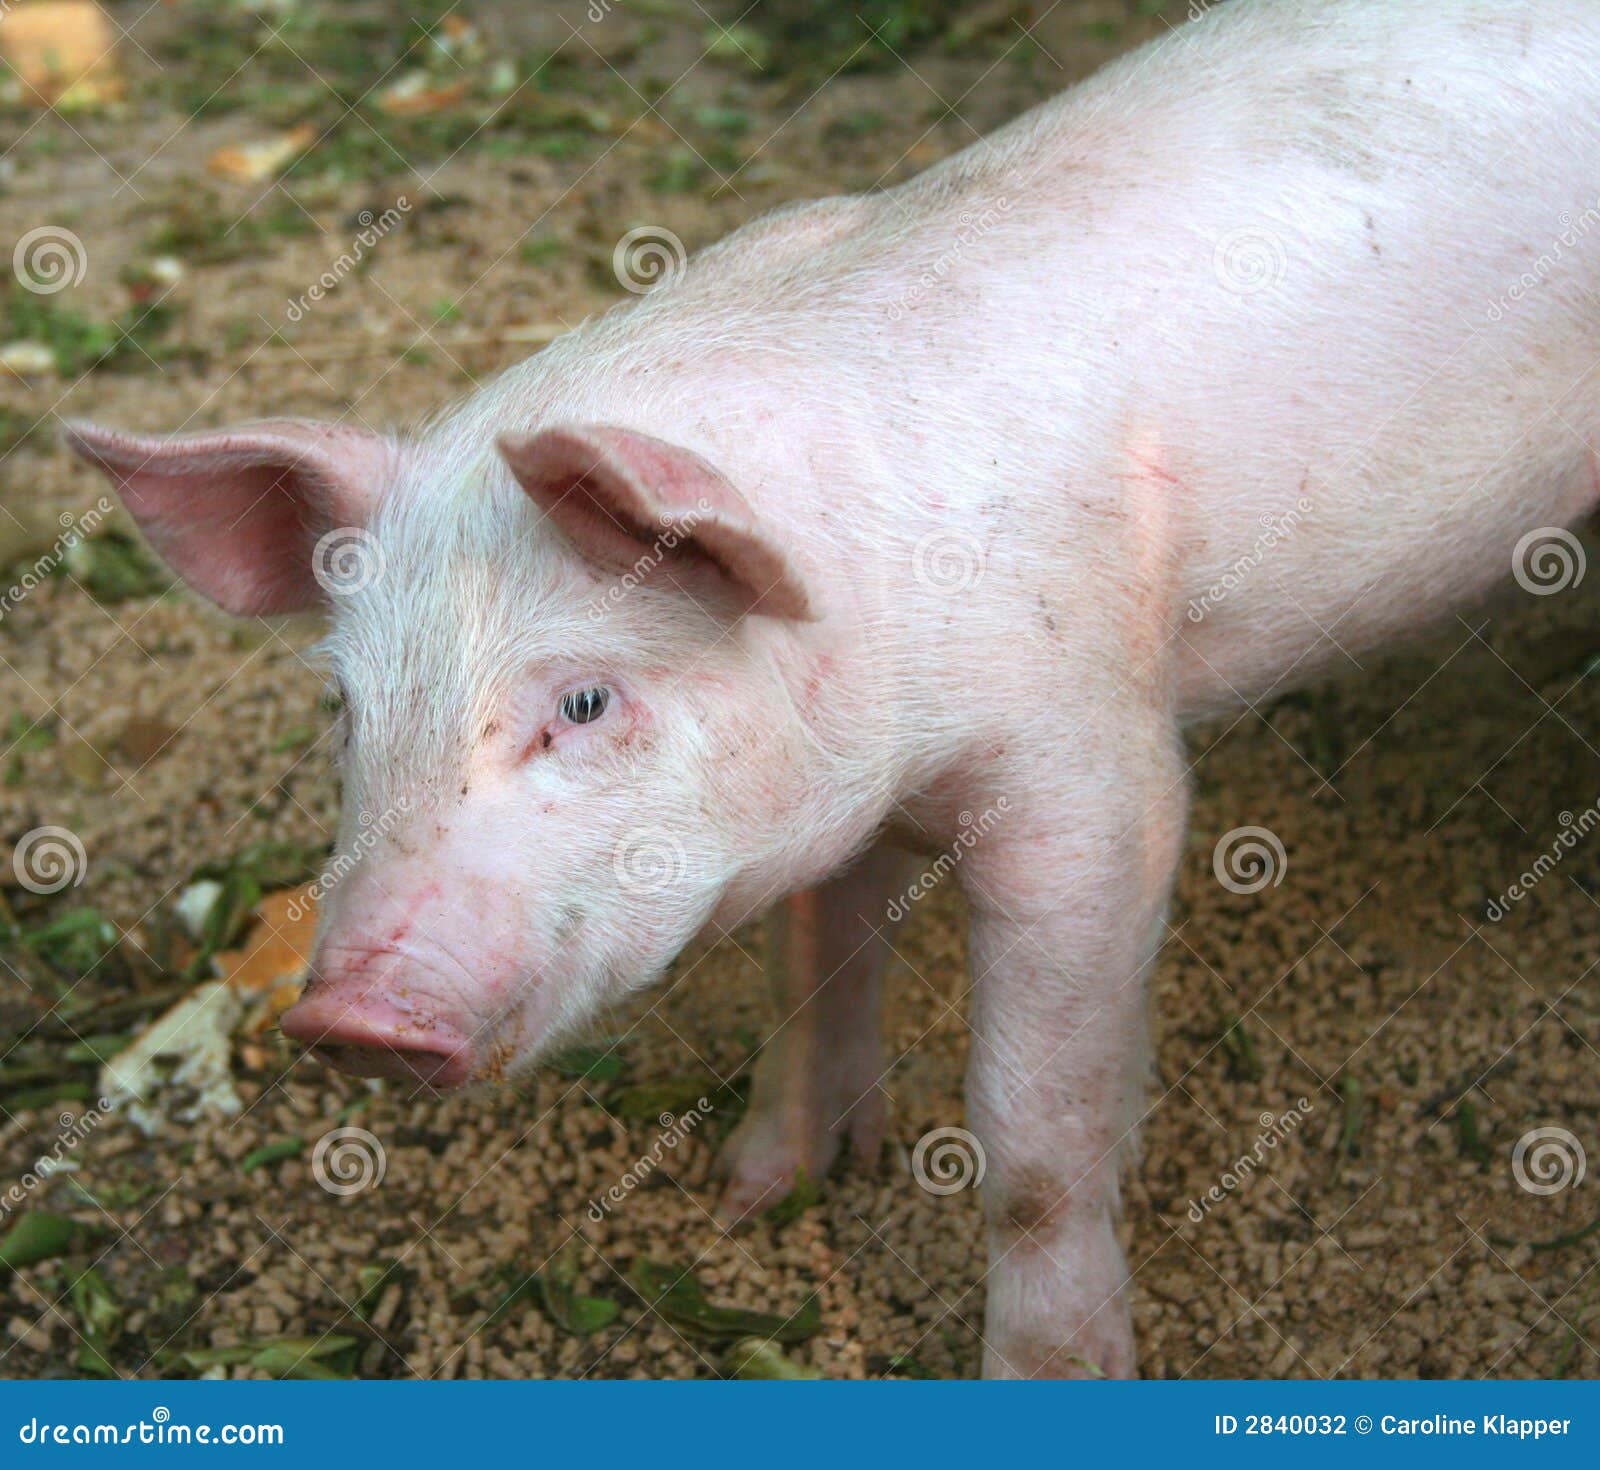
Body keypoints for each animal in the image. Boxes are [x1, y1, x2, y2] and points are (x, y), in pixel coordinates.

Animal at [65, 0, 1600, 1378]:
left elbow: (1033, 1132)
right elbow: (813, 972)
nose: (349, 1018)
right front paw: (762, 1191)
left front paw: (1053, 1370)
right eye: (345, 708)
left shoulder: (1095, 775)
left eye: (584, 704)